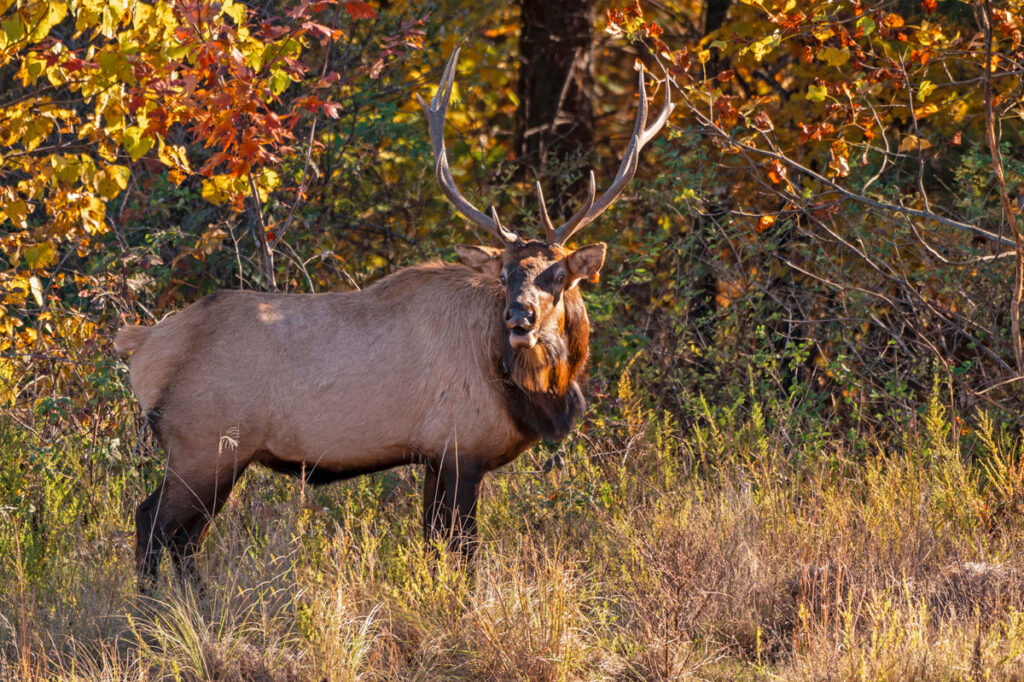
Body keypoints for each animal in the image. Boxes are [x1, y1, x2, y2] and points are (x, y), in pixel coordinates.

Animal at [115, 48, 672, 592]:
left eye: (558, 276)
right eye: (506, 274)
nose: (519, 316)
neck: (526, 391)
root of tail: (143, 346)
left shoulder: (435, 457)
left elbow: (435, 545)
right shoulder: (460, 448)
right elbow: (461, 552)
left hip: (216, 456)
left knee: (184, 540)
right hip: (204, 444)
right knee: (152, 524)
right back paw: (148, 612)